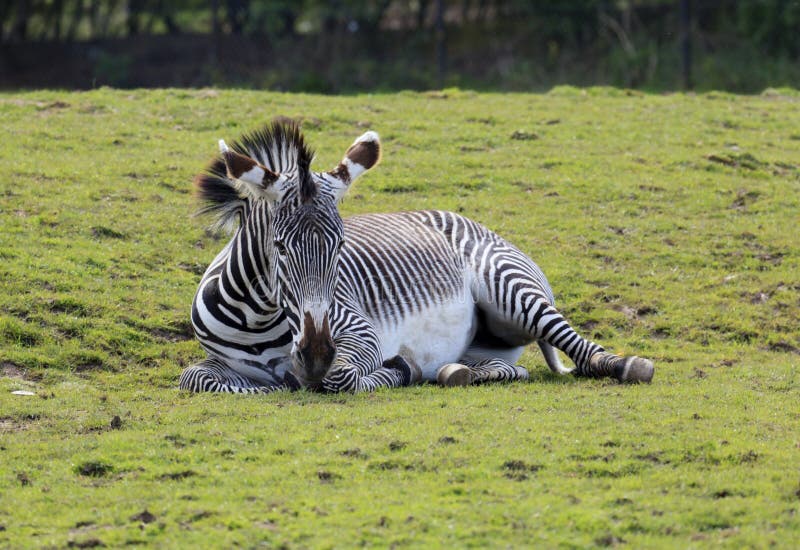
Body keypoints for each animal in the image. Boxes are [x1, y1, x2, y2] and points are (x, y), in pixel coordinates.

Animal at [180, 121, 654, 393]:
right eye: (279, 247)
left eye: (340, 246)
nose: (315, 354)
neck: (256, 318)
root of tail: (466, 219)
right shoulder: (218, 364)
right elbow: (197, 378)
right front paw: (274, 384)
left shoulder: (360, 332)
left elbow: (343, 377)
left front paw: (395, 370)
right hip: (487, 345)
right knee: (503, 370)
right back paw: (454, 373)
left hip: (509, 286)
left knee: (577, 344)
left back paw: (625, 365)